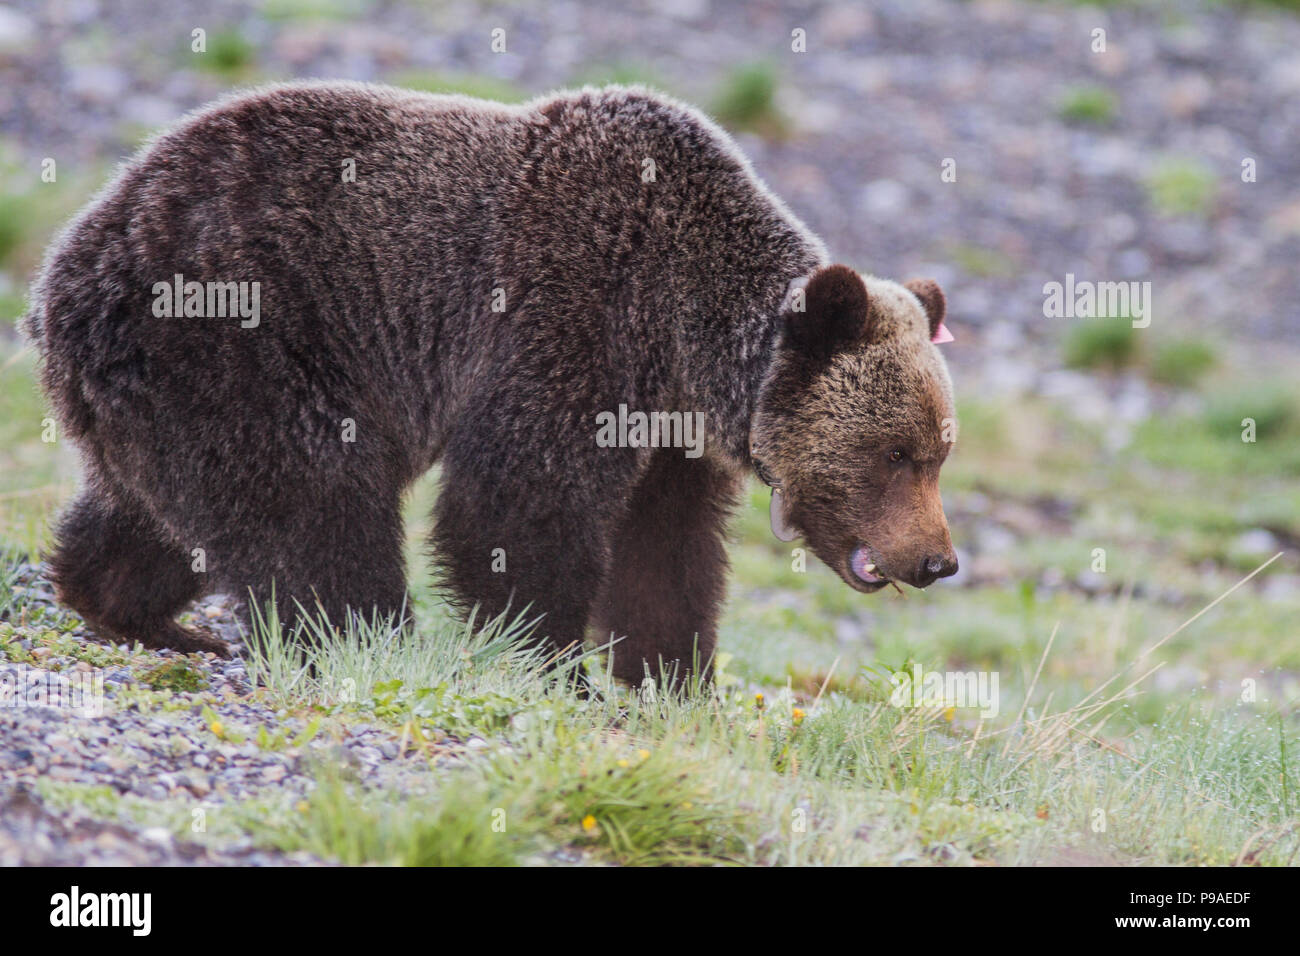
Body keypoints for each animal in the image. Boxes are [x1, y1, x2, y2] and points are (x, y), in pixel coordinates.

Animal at [23, 81, 958, 685]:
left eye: (938, 452)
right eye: (897, 453)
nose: (938, 560)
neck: (683, 330)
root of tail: (58, 275)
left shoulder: (670, 431)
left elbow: (668, 552)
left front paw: (675, 681)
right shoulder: (573, 318)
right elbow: (517, 505)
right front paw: (551, 663)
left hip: (164, 392)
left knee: (160, 511)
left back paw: (143, 615)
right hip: (240, 337)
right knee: (313, 508)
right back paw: (367, 640)